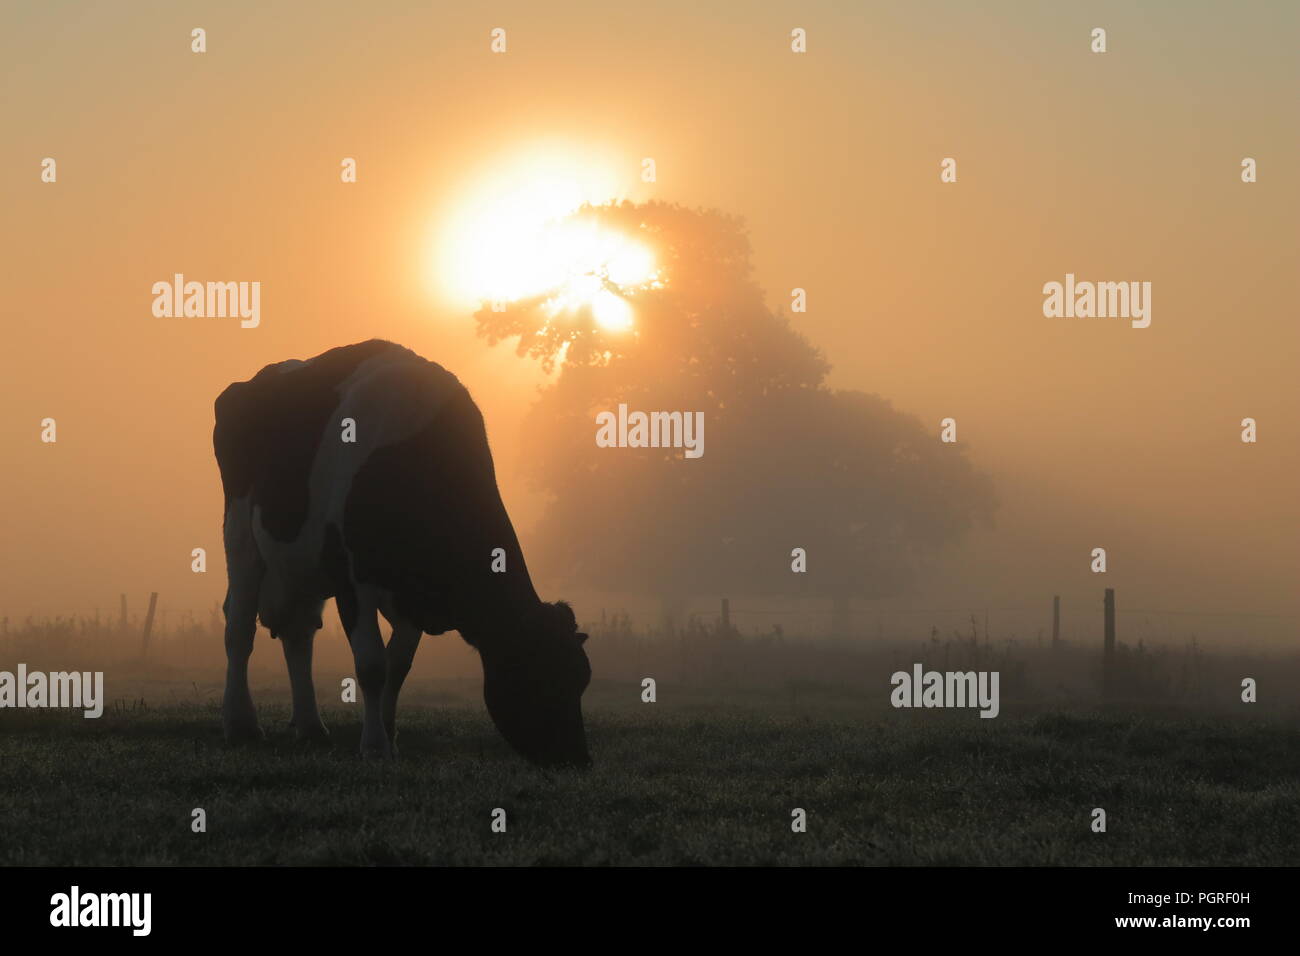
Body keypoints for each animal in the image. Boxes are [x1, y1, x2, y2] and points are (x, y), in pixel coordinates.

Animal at [212, 339, 591, 767]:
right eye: (540, 678)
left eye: (581, 679)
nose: (579, 758)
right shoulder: (350, 577)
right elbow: (372, 665)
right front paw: (375, 744)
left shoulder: (410, 596)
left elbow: (398, 666)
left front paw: (389, 734)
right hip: (241, 530)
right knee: (239, 627)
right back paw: (241, 724)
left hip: (302, 563)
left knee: (299, 632)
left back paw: (311, 727)